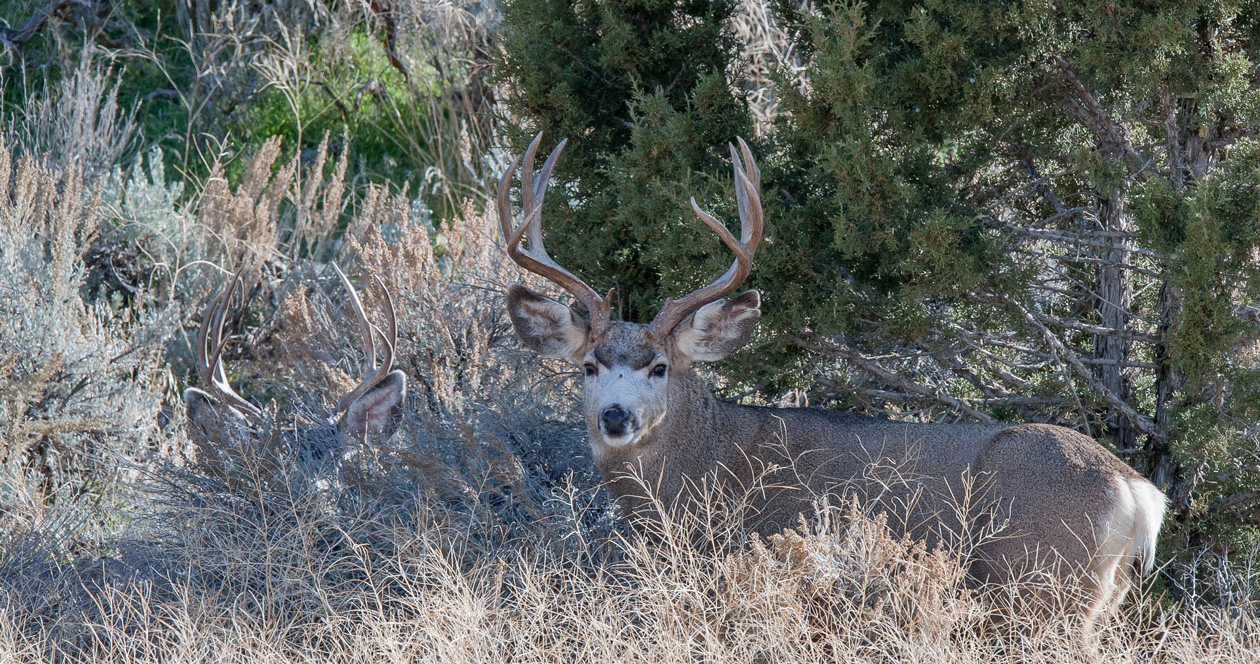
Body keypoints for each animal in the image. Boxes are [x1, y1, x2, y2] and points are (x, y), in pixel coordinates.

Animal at [497, 132, 1167, 628]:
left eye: (659, 367)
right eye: (588, 365)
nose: (616, 416)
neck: (703, 467)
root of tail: (1136, 490)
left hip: (1043, 586)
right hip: (1095, 596)